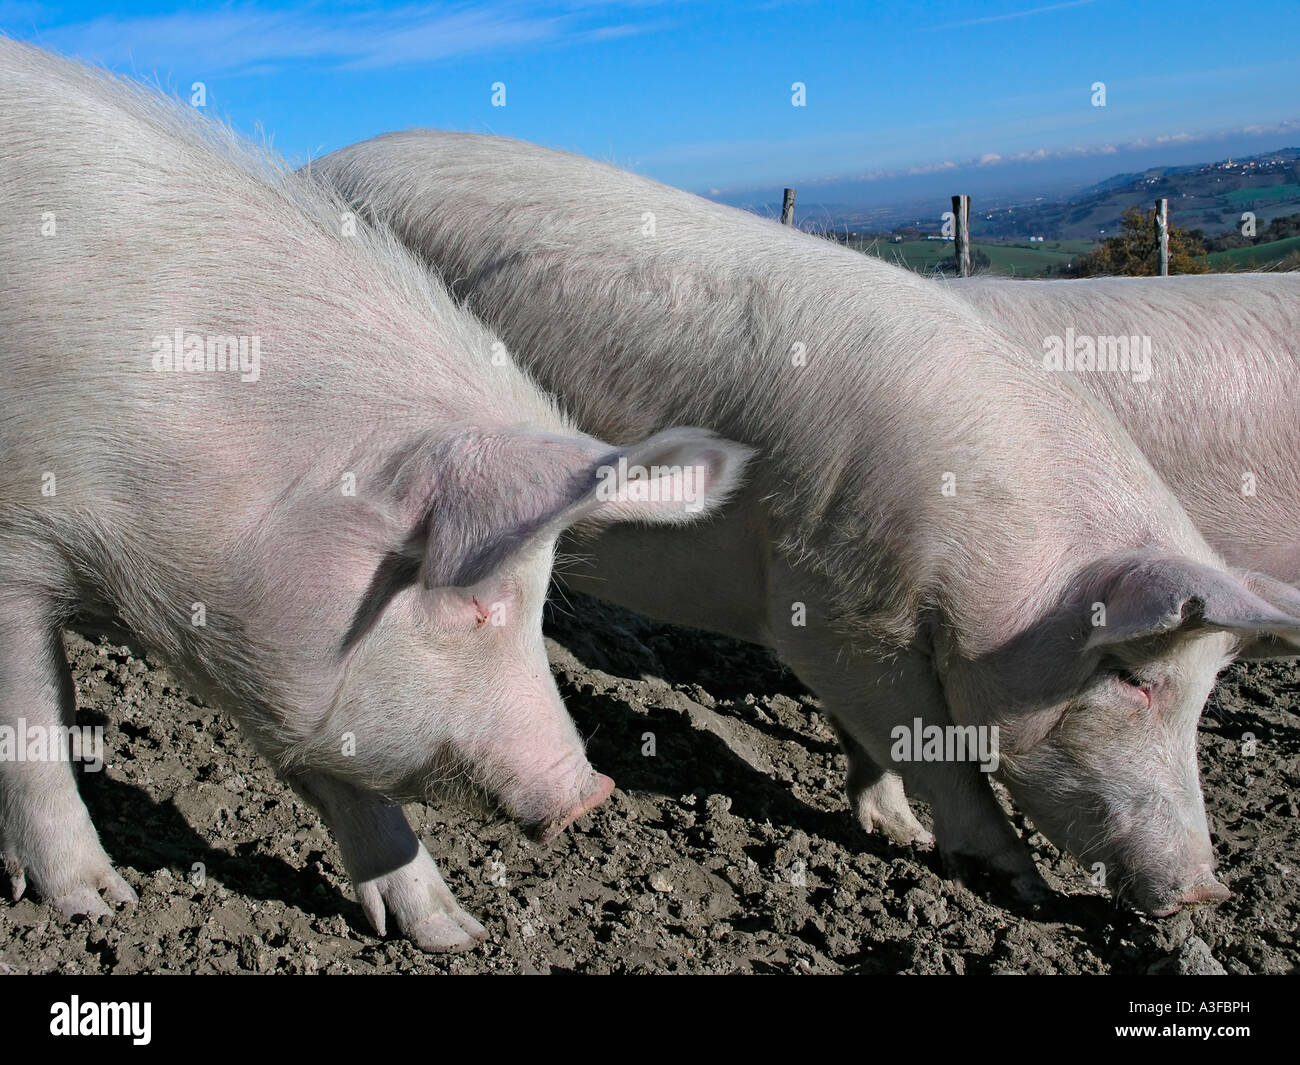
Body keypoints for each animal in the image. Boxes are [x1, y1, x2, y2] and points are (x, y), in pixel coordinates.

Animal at [0, 41, 750, 953]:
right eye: (477, 601)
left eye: (541, 597)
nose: (590, 794)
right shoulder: (17, 547)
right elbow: (35, 719)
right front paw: (100, 903)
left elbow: (345, 775)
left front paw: (454, 931)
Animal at [309, 130, 1300, 916]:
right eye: (1133, 676)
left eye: (1205, 692)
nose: (1207, 890)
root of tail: (328, 159)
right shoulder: (837, 608)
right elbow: (930, 746)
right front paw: (1010, 877)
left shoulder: (852, 621)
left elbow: (875, 742)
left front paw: (895, 833)